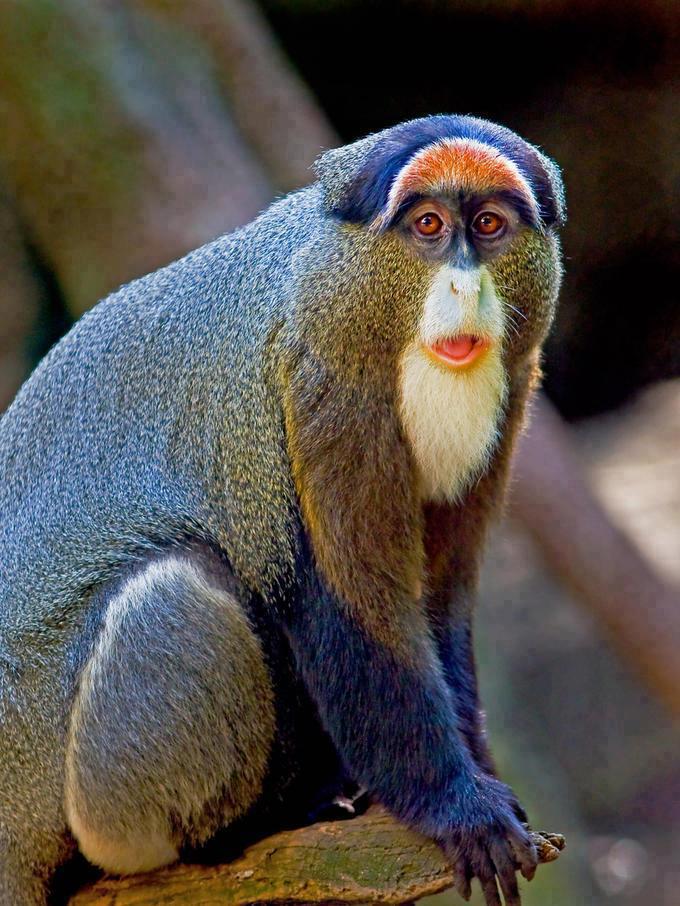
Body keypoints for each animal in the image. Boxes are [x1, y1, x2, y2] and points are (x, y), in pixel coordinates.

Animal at [0, 114, 565, 906]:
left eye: (488, 225)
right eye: (427, 224)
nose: (463, 282)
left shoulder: (514, 381)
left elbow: (441, 603)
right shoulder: (324, 385)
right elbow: (356, 606)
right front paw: (461, 809)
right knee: (176, 586)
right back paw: (245, 826)